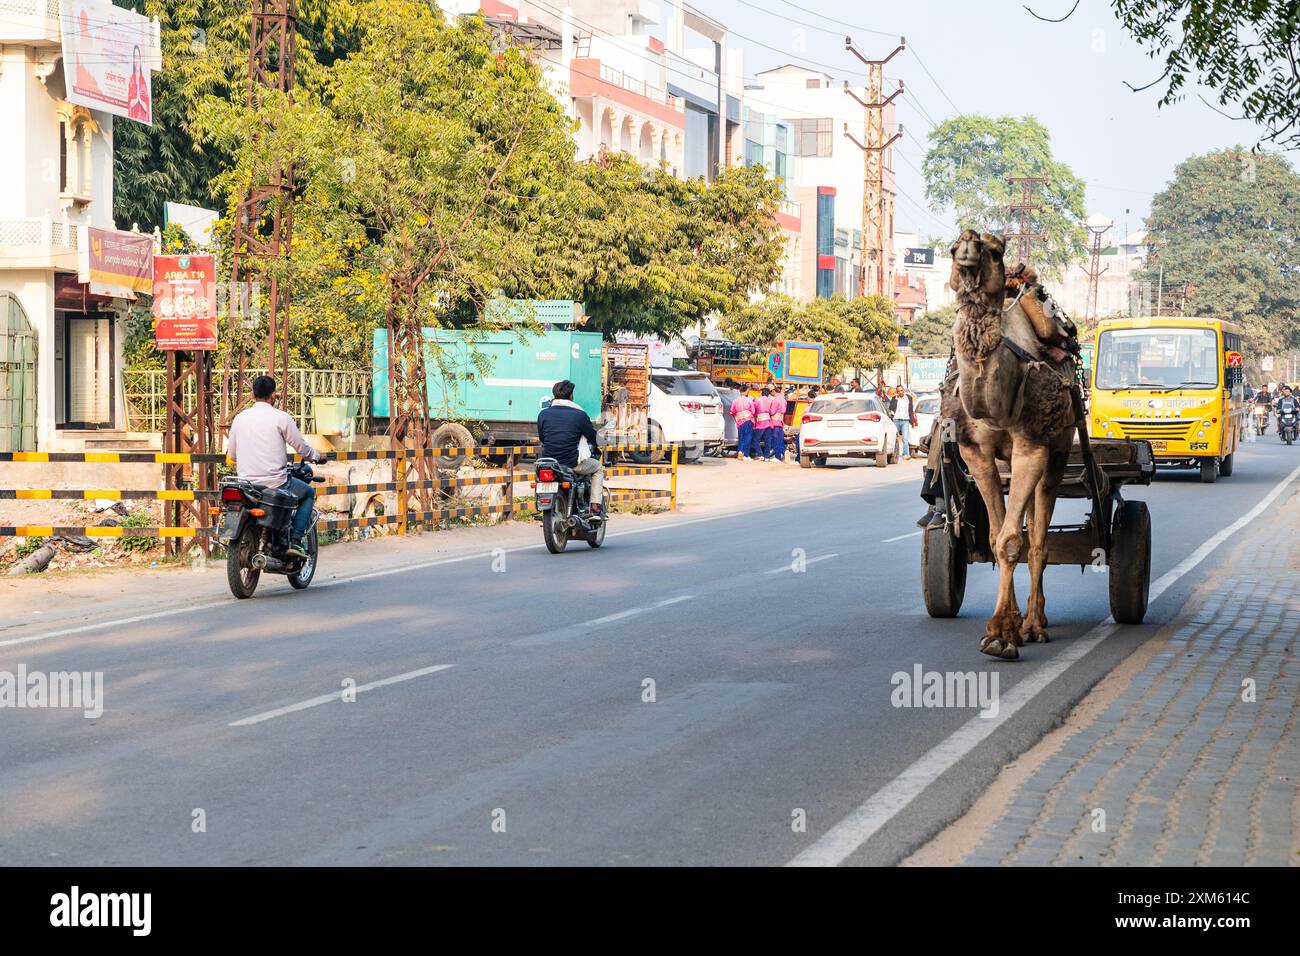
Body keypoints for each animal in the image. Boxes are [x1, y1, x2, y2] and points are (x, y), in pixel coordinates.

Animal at [943, 230, 1079, 659]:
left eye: (996, 249)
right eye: (952, 247)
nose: (968, 248)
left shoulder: (1031, 446)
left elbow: (1013, 541)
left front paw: (1004, 633)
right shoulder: (975, 453)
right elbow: (995, 537)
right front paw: (1005, 627)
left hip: (1059, 445)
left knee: (1039, 537)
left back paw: (1036, 623)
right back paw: (1032, 619)